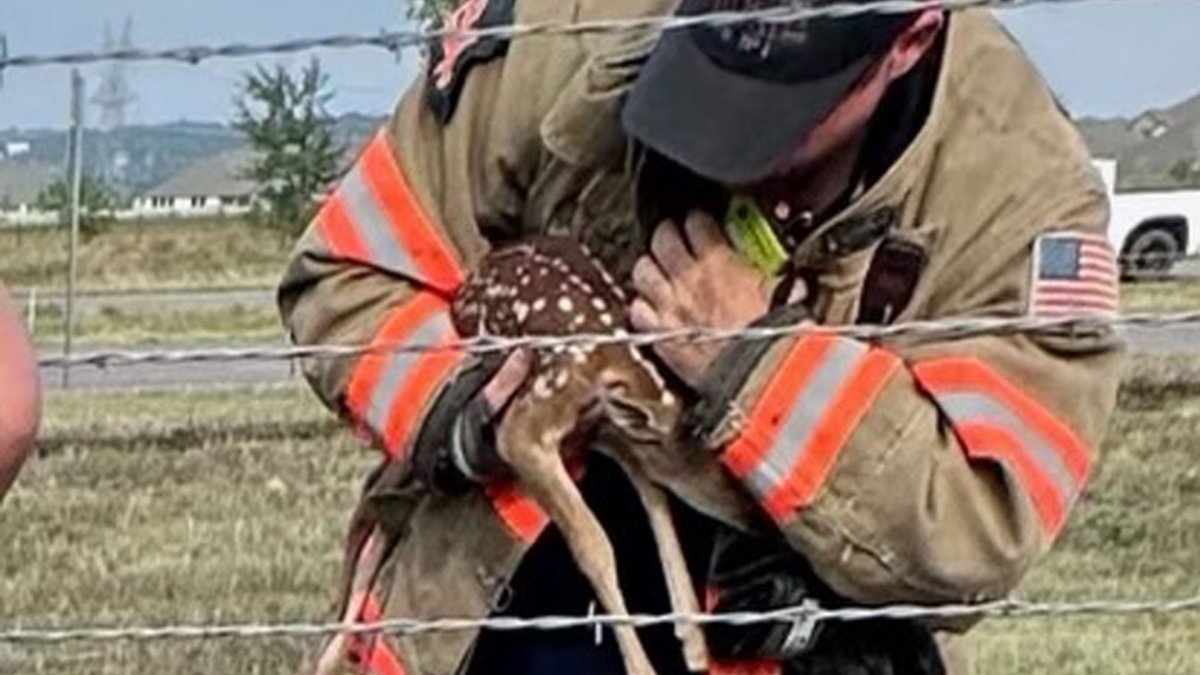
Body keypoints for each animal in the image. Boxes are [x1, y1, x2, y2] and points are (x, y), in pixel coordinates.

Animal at [451, 236, 709, 675]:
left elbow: (656, 501)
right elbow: (593, 544)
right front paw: (643, 668)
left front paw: (695, 646)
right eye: (714, 464)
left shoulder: (610, 433)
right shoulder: (528, 424)